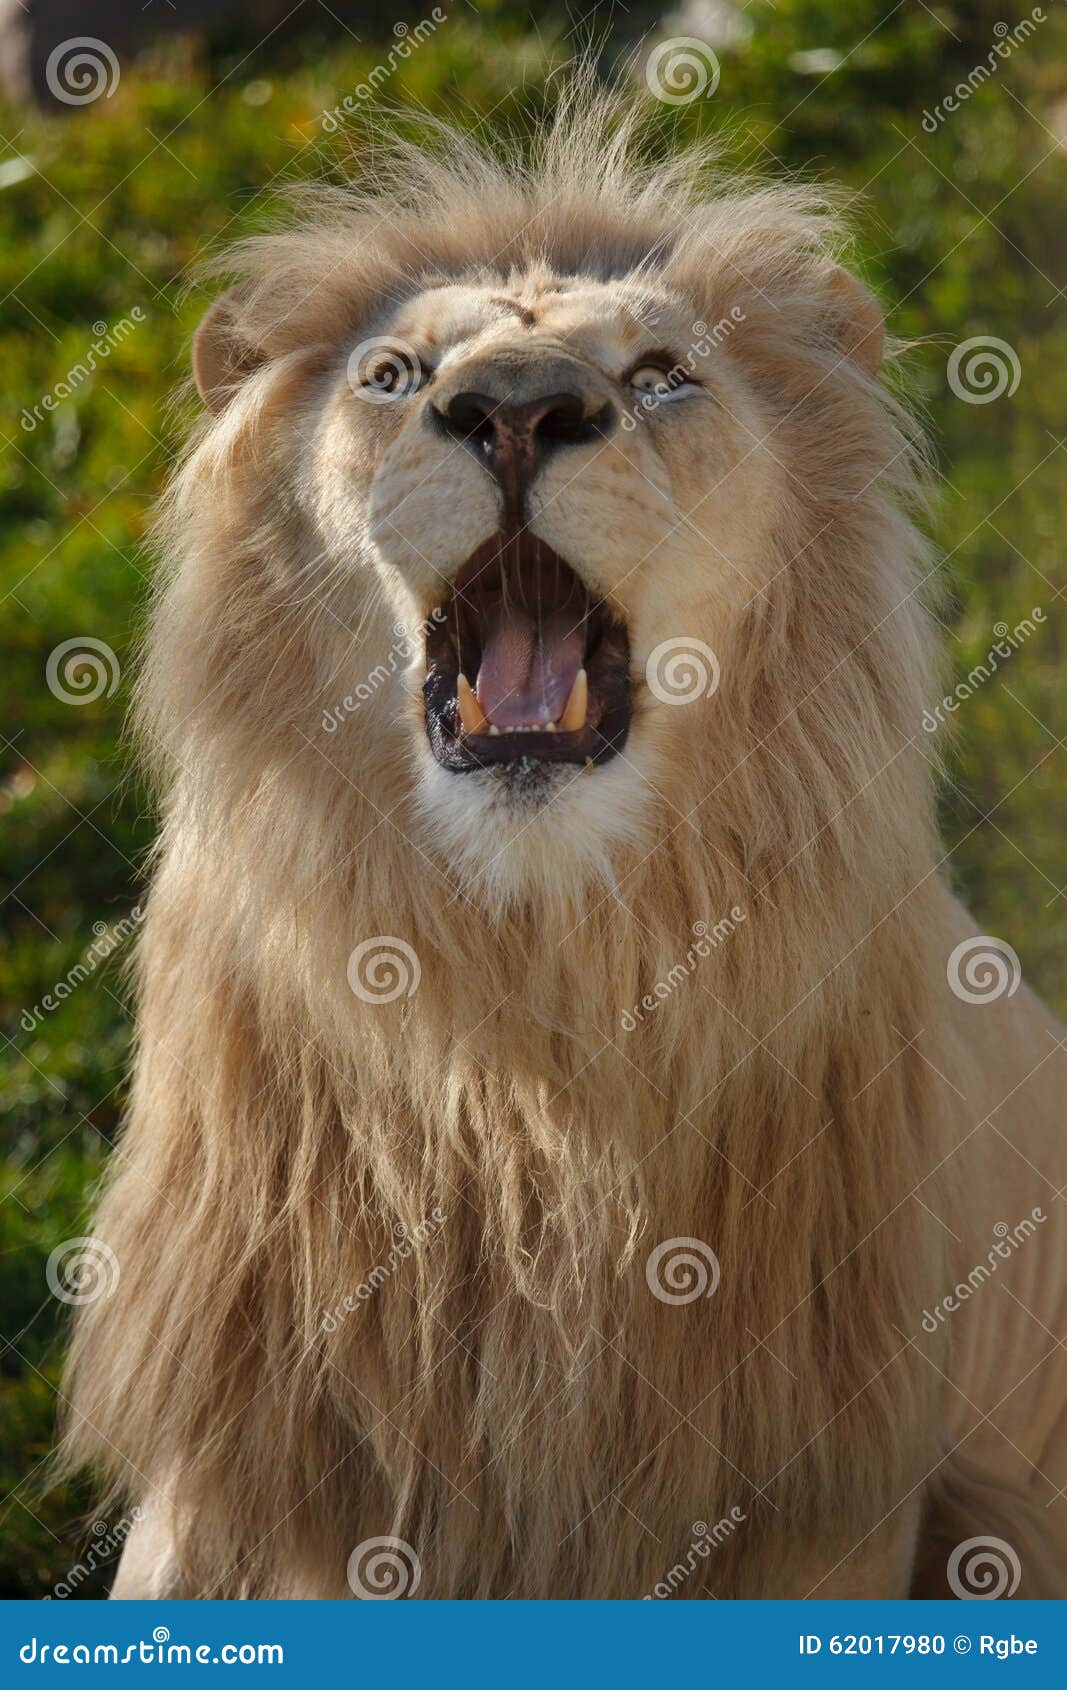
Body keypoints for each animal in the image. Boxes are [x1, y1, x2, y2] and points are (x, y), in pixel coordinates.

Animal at [61, 87, 1066, 1601]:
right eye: (395, 374)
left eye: (658, 375)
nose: (518, 412)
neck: (529, 1040)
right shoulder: (247, 1447)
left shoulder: (815, 1502)